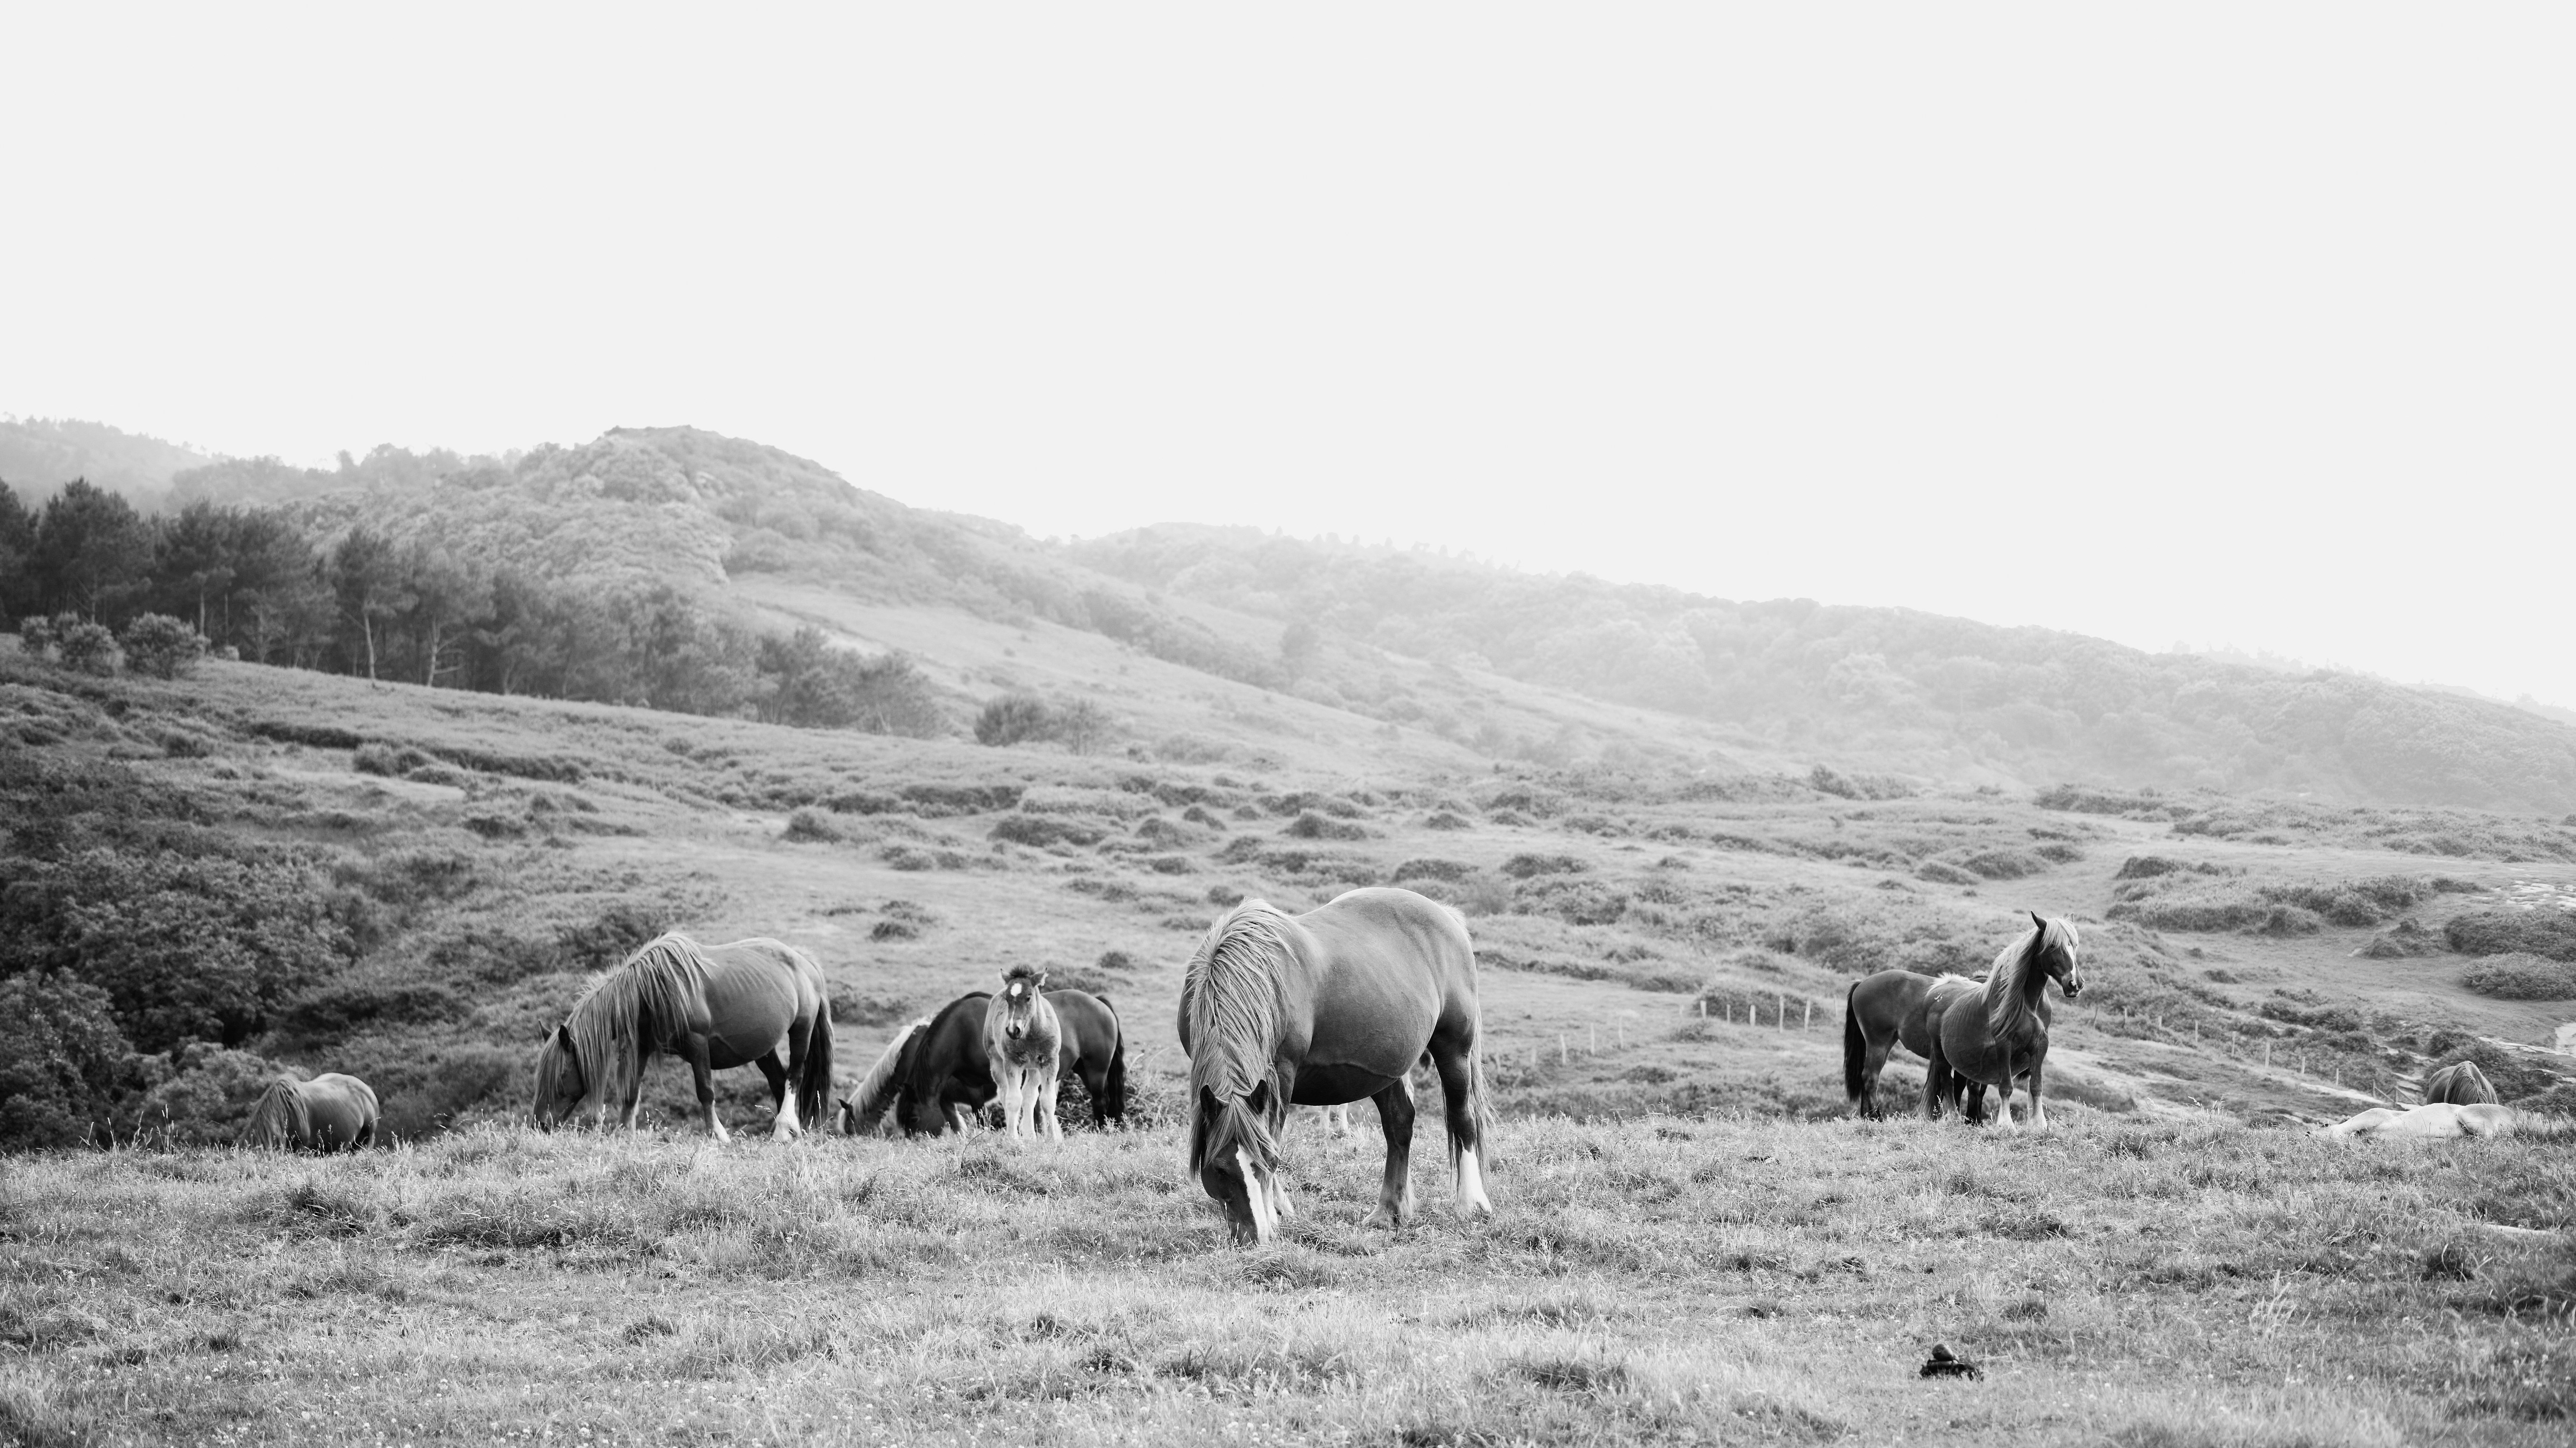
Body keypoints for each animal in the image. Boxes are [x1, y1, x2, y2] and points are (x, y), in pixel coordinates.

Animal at [532, 933, 834, 1141]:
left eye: (561, 1075)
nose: (540, 1124)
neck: (652, 990)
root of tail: (805, 962)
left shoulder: (697, 1043)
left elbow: (705, 1091)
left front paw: (718, 1135)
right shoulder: (642, 1046)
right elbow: (631, 1091)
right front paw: (624, 1132)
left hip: (801, 1031)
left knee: (794, 1077)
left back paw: (783, 1131)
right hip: (763, 1048)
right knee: (778, 1081)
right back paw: (786, 1132)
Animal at [1178, 888, 1495, 1245]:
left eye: (1266, 1162)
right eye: (1219, 1168)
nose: (1254, 1237)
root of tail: (1445, 916)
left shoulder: (1282, 1074)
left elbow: (1273, 1134)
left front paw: (1274, 1214)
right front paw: (1280, 1211)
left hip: (1454, 1048)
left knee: (1463, 1118)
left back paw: (1472, 1205)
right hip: (1385, 1070)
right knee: (1400, 1123)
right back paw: (1388, 1213)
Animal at [1843, 968, 1992, 1120]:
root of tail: (1862, 983)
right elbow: (1968, 1087)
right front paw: (1971, 1119)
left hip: (1886, 1043)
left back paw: (1868, 1117)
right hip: (1878, 1043)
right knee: (1870, 1077)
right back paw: (1877, 1117)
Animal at [1921, 913, 2084, 1130]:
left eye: (2074, 945)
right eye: (2052, 946)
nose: (2075, 984)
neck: (2029, 1004)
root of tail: (1937, 991)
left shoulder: (2041, 1044)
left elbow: (2036, 1086)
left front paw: (2039, 1124)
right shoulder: (2005, 1045)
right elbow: (2006, 1087)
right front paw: (2006, 1124)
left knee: (1962, 1085)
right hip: (1941, 1053)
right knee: (1948, 1082)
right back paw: (1953, 1117)